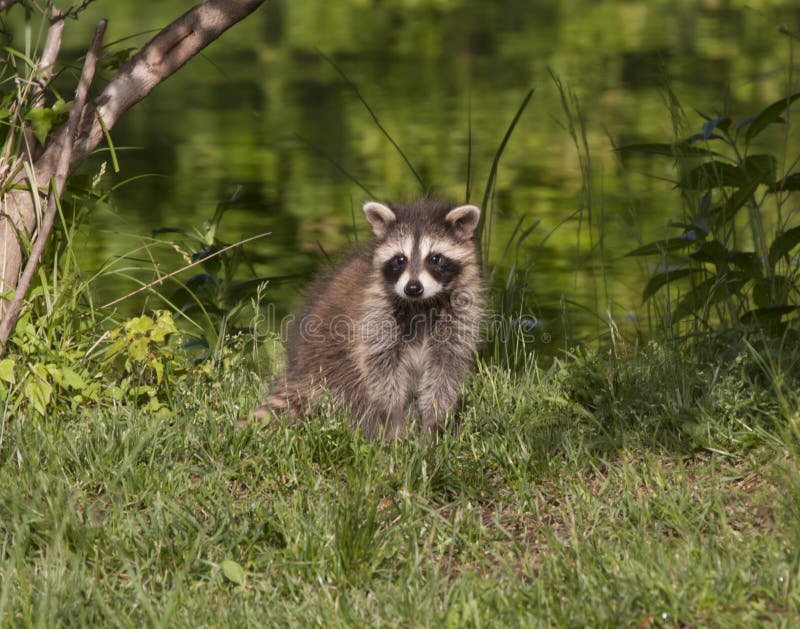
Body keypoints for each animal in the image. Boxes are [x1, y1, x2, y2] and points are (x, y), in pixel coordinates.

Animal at [253, 198, 486, 439]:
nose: (413, 288)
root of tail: (300, 372)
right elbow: (381, 370)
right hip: (329, 360)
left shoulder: (458, 316)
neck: (422, 303)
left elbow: (445, 371)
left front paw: (433, 421)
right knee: (356, 386)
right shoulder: (376, 312)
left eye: (435, 258)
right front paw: (394, 421)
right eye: (400, 259)